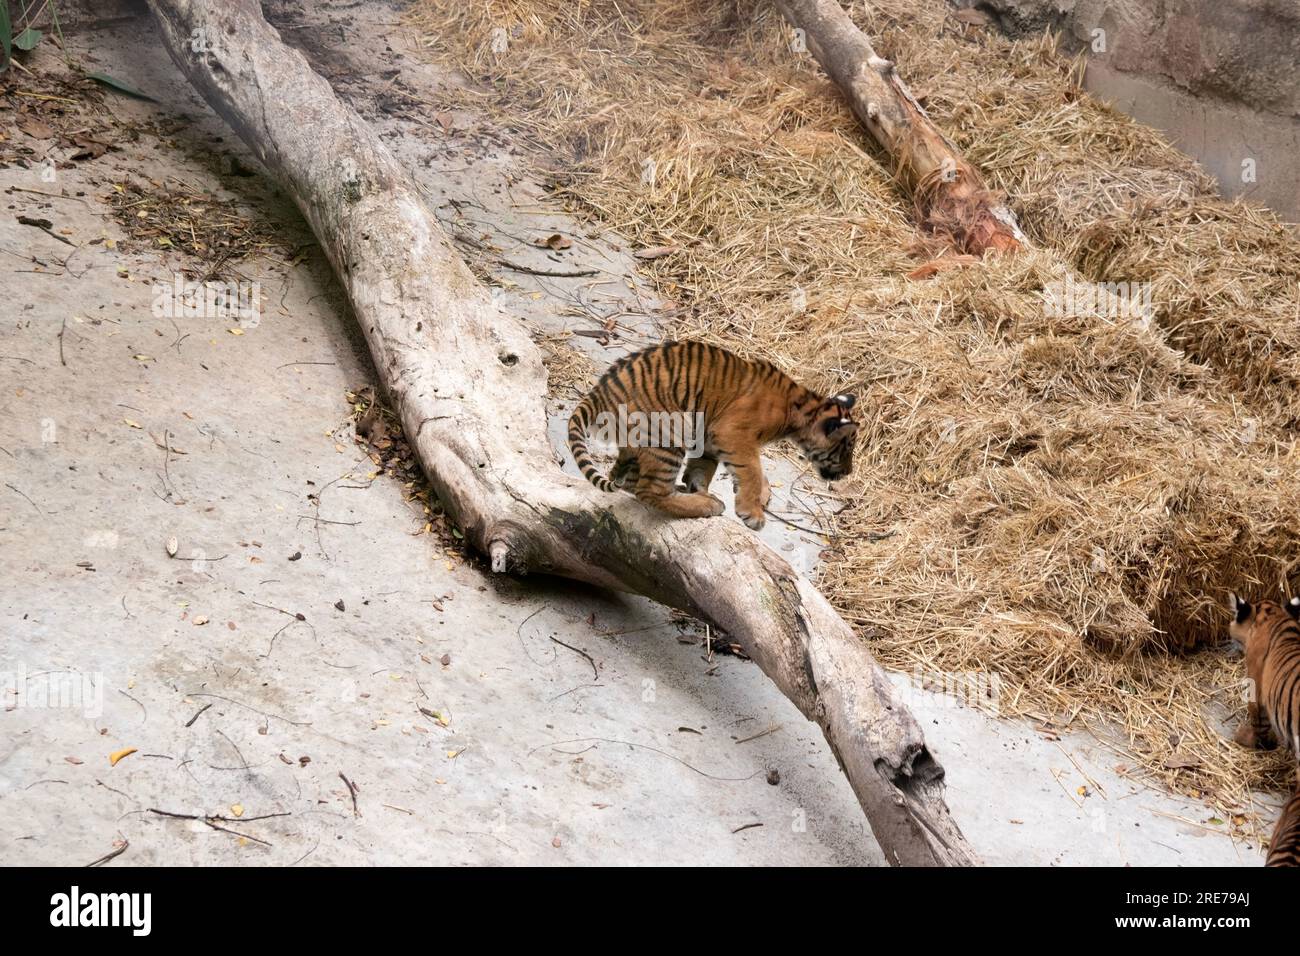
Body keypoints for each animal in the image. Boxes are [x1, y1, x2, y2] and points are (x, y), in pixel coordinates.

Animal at [566, 341, 858, 531]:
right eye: (846, 449)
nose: (848, 472)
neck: (800, 410)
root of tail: (599, 392)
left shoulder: (708, 436)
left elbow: (705, 468)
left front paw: (701, 487)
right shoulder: (734, 434)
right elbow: (752, 470)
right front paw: (752, 513)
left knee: (626, 480)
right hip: (671, 431)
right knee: (649, 491)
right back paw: (706, 506)